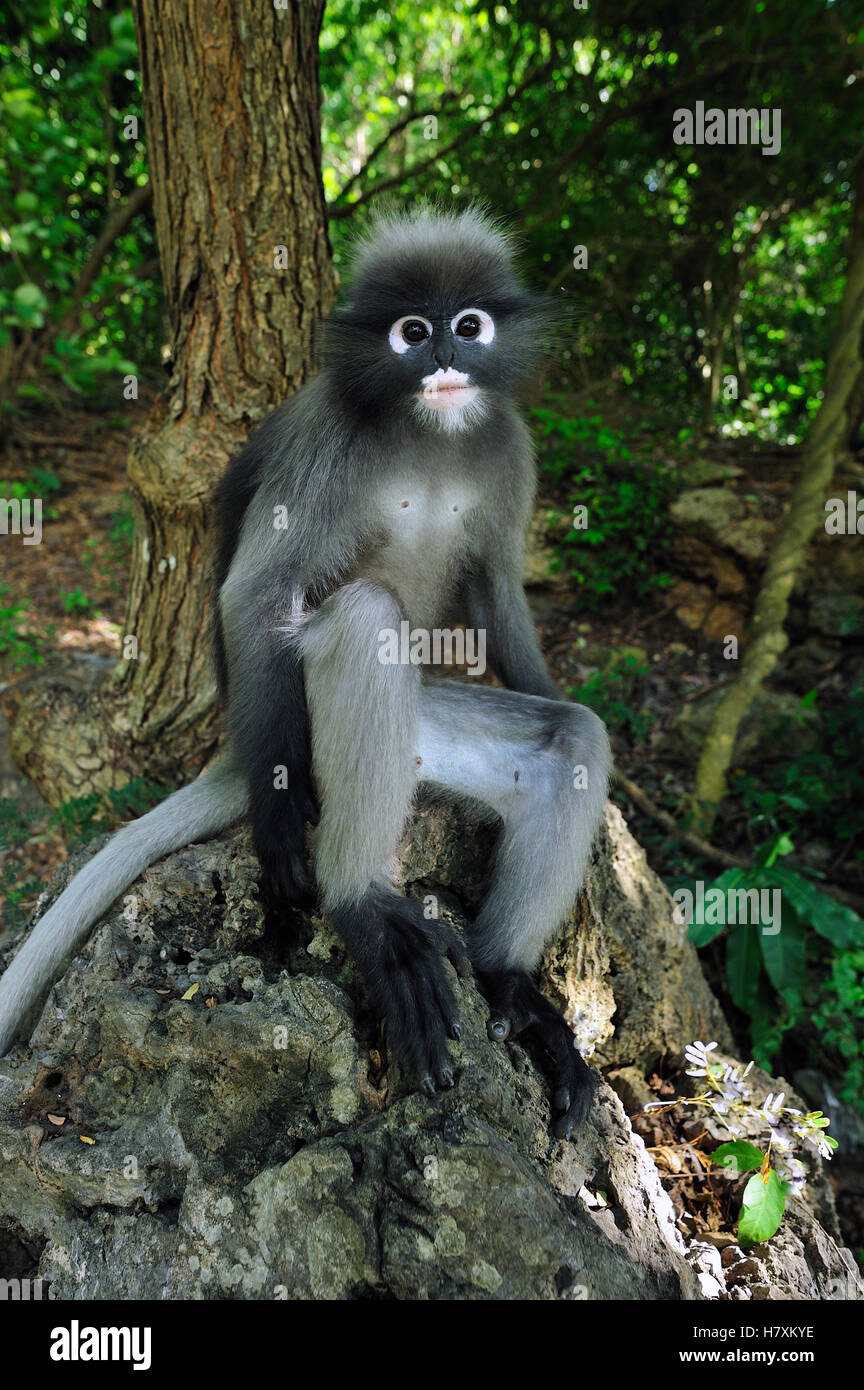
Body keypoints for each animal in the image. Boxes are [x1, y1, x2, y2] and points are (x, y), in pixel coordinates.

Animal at [0, 206, 611, 1138]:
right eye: (411, 331)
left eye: (468, 327)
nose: (443, 357)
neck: (428, 434)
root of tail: (235, 746)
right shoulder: (329, 436)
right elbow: (257, 592)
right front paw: (282, 827)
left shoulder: (508, 442)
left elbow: (498, 587)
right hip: (303, 720)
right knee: (364, 621)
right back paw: (363, 907)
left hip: (426, 730)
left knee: (571, 739)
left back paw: (510, 985)